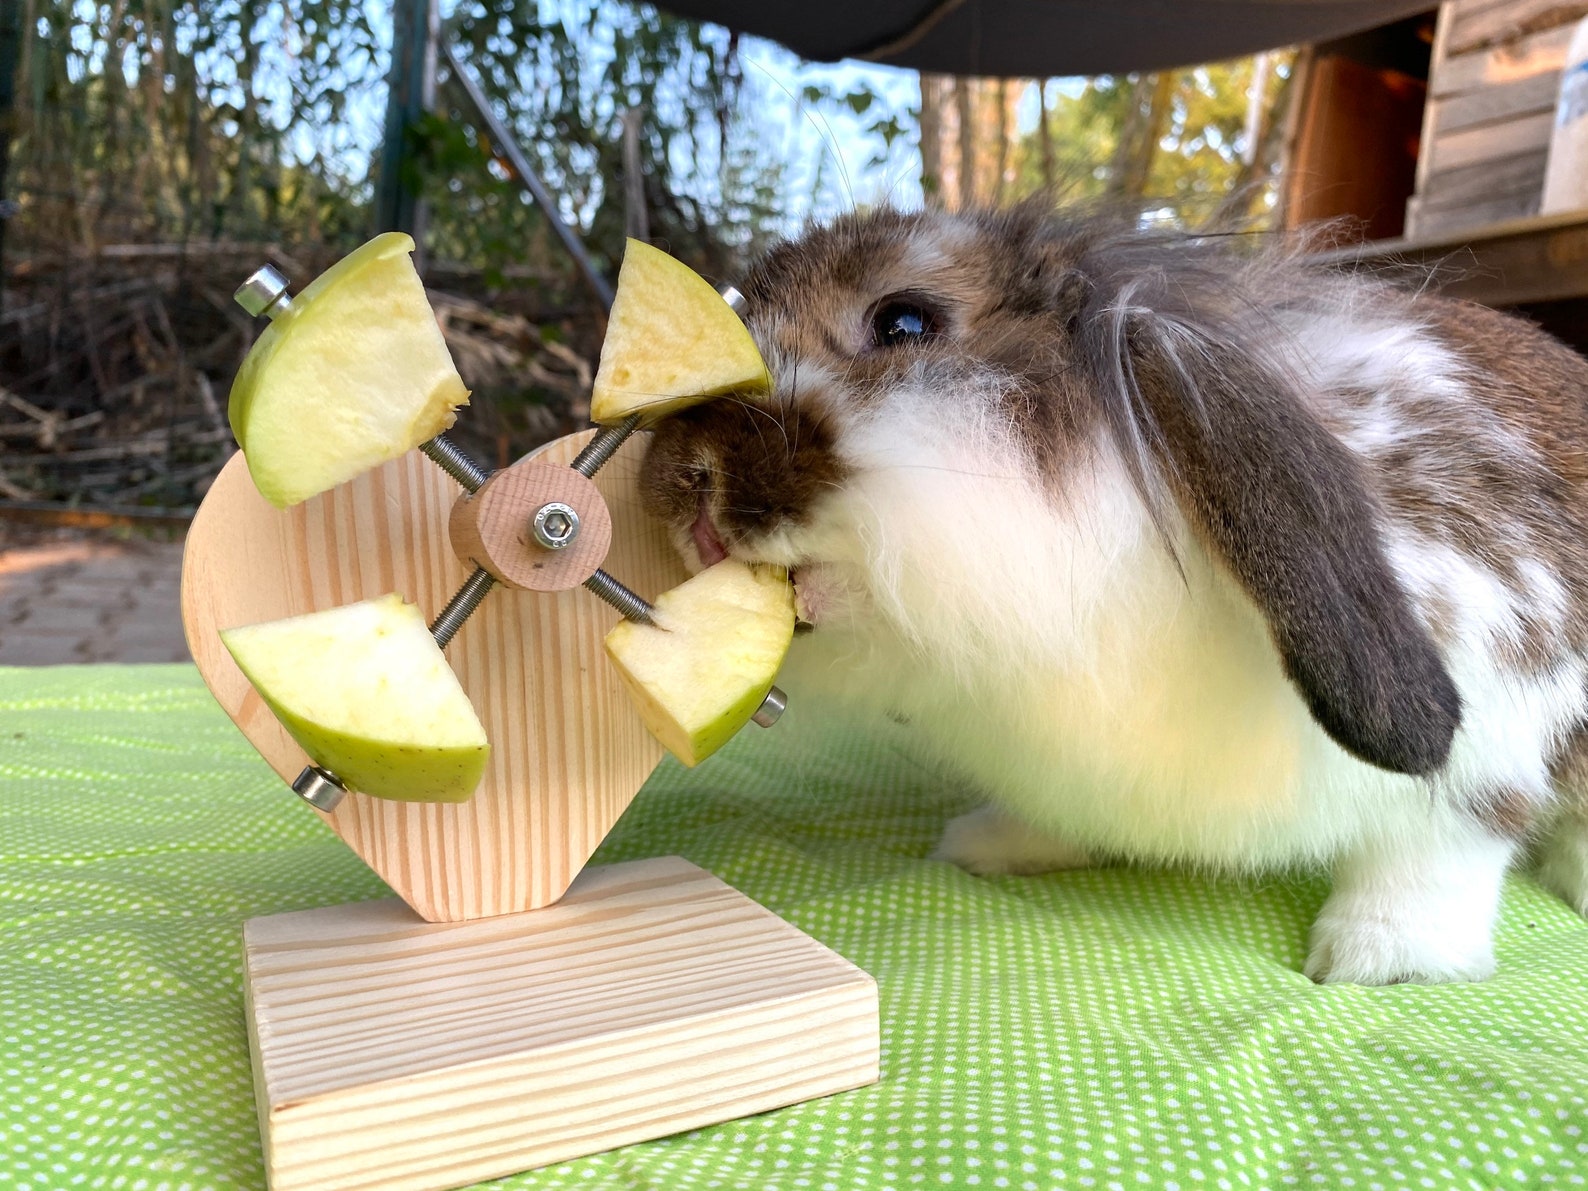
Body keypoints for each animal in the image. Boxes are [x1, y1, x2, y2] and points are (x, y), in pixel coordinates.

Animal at [636, 202, 1588, 985]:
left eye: (904, 319)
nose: (687, 479)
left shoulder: (1495, 716)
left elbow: (1437, 853)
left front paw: (1381, 958)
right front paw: (991, 844)